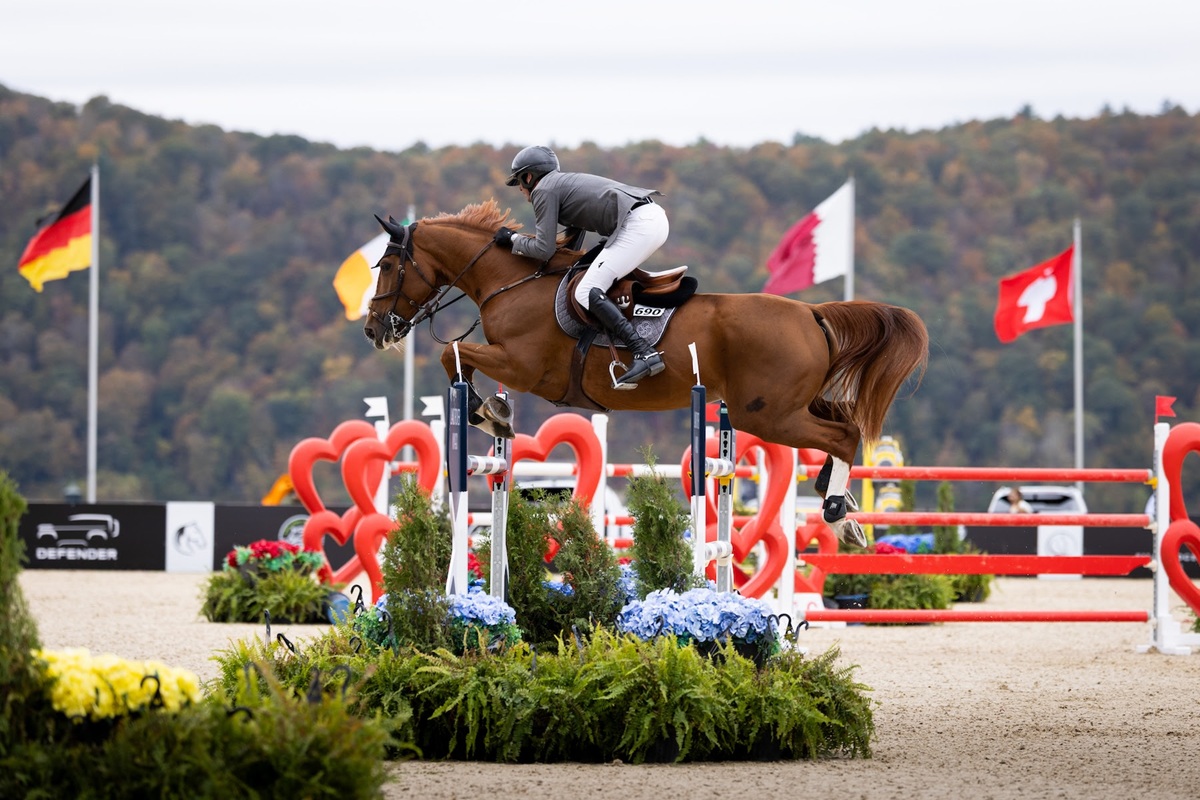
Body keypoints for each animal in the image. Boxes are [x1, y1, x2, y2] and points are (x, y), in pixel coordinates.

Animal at [362, 200, 928, 546]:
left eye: (387, 267)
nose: (373, 329)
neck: (512, 281)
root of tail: (810, 312)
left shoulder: (522, 366)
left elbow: (454, 356)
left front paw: (490, 413)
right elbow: (457, 358)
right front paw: (495, 412)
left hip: (767, 415)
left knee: (842, 434)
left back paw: (836, 510)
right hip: (789, 405)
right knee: (844, 423)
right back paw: (842, 504)